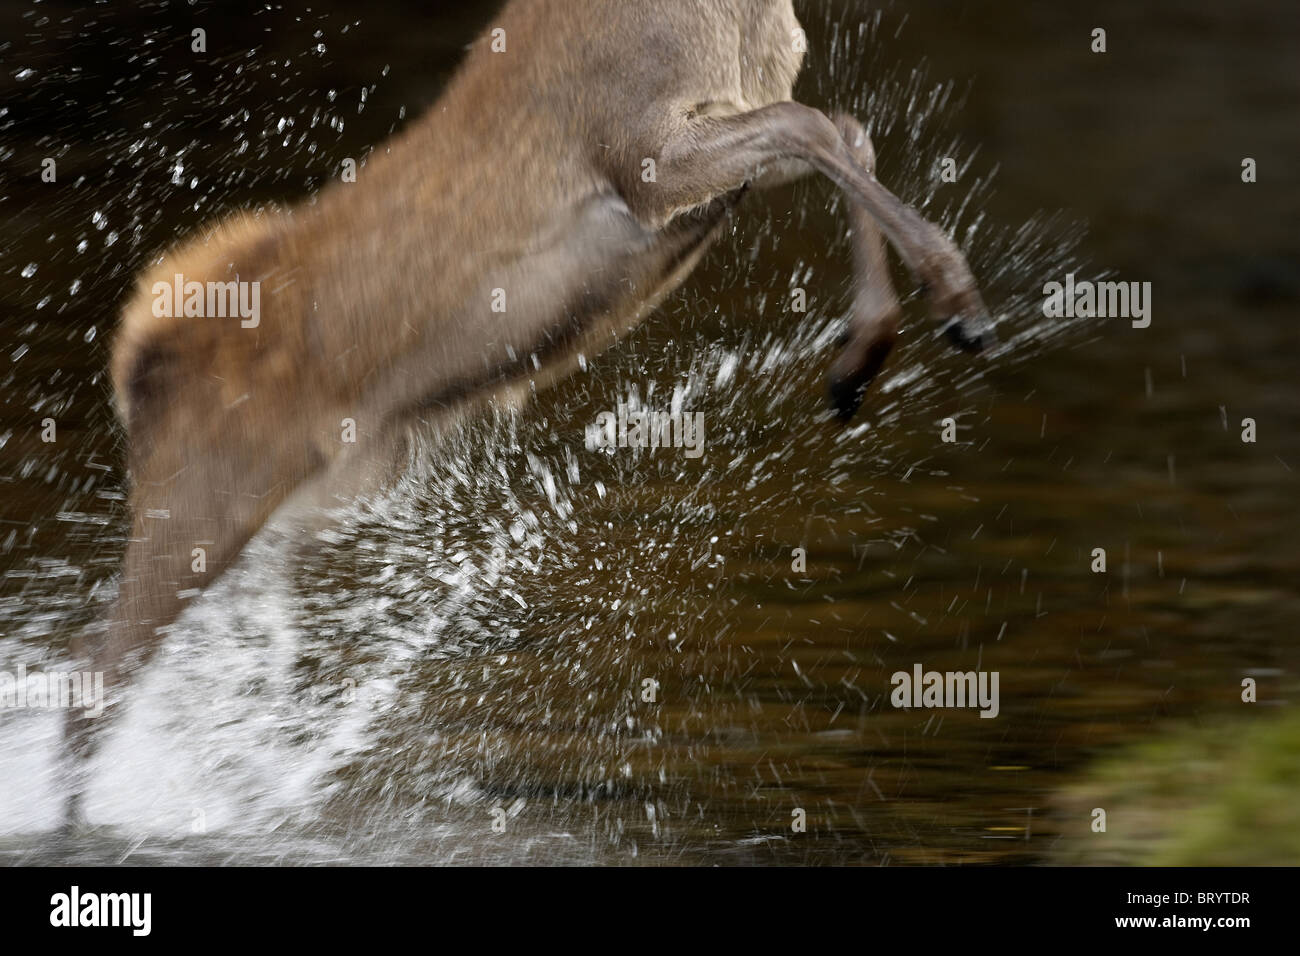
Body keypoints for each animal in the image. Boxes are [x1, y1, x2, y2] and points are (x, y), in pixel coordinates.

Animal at [61, 0, 991, 826]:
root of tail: (136, 360)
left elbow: (844, 128)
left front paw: (864, 360)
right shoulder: (643, 151)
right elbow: (814, 124)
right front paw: (957, 302)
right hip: (203, 492)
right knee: (90, 679)